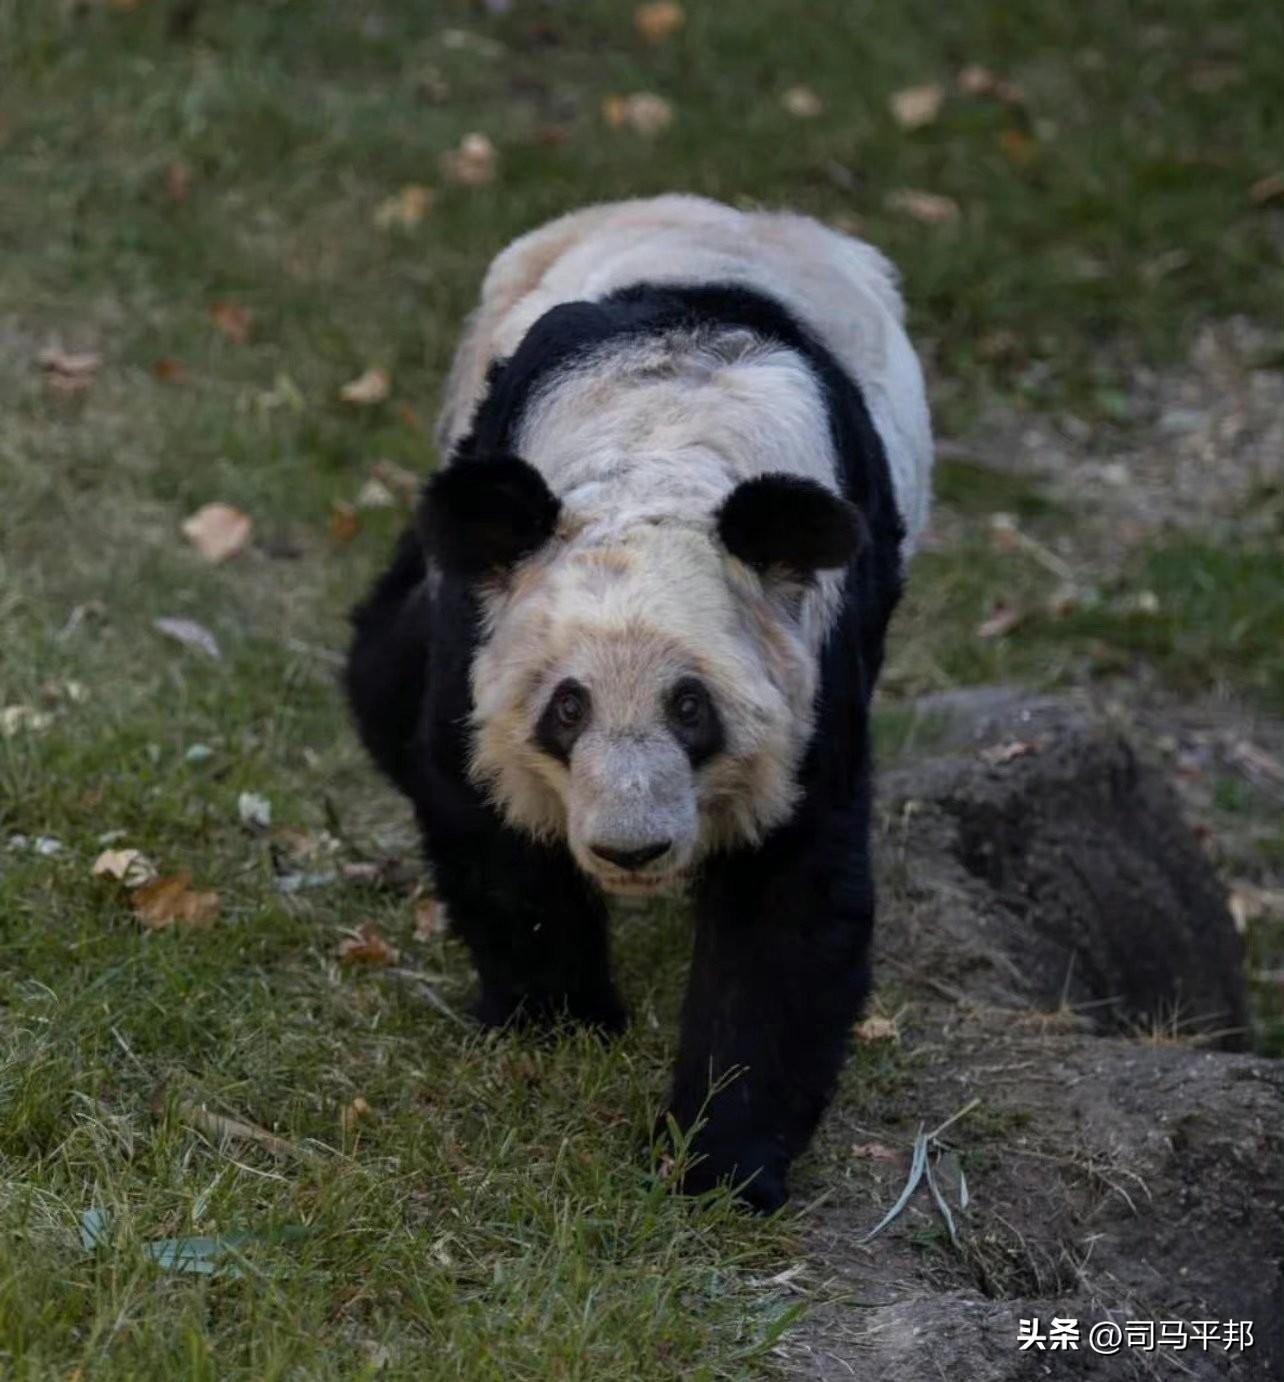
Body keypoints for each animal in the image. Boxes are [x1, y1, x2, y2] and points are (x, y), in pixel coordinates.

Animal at [346, 194, 932, 1211]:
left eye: (691, 709)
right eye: (568, 709)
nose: (632, 849)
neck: (661, 454)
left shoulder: (816, 656)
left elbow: (790, 893)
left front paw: (720, 1163)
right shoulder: (493, 619)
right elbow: (482, 804)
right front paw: (559, 1018)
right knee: (385, 671)